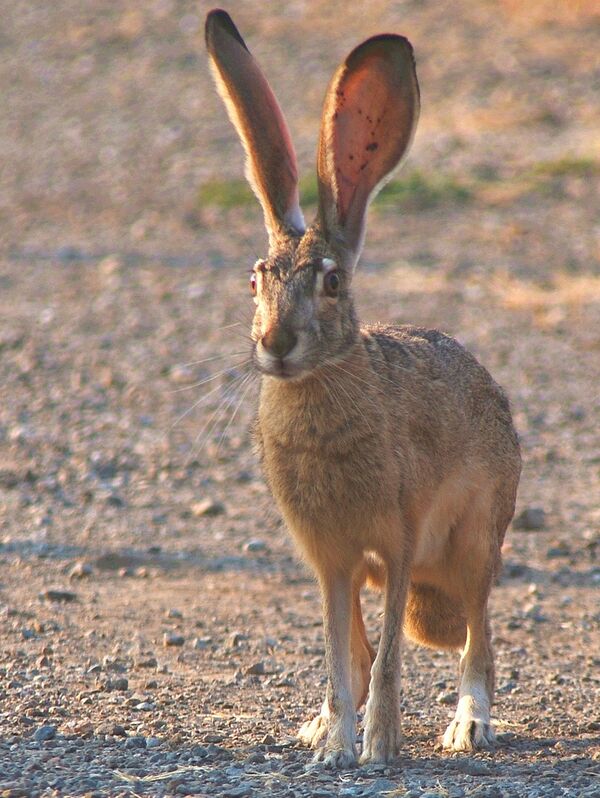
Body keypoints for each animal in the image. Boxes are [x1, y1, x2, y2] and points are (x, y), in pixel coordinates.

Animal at [205, 9, 521, 768]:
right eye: (255, 279)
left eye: (332, 282)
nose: (275, 344)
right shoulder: (330, 558)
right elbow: (339, 651)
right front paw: (332, 746)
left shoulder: (399, 539)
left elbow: (385, 662)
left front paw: (377, 747)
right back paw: (324, 726)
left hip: (474, 542)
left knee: (476, 638)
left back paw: (469, 726)